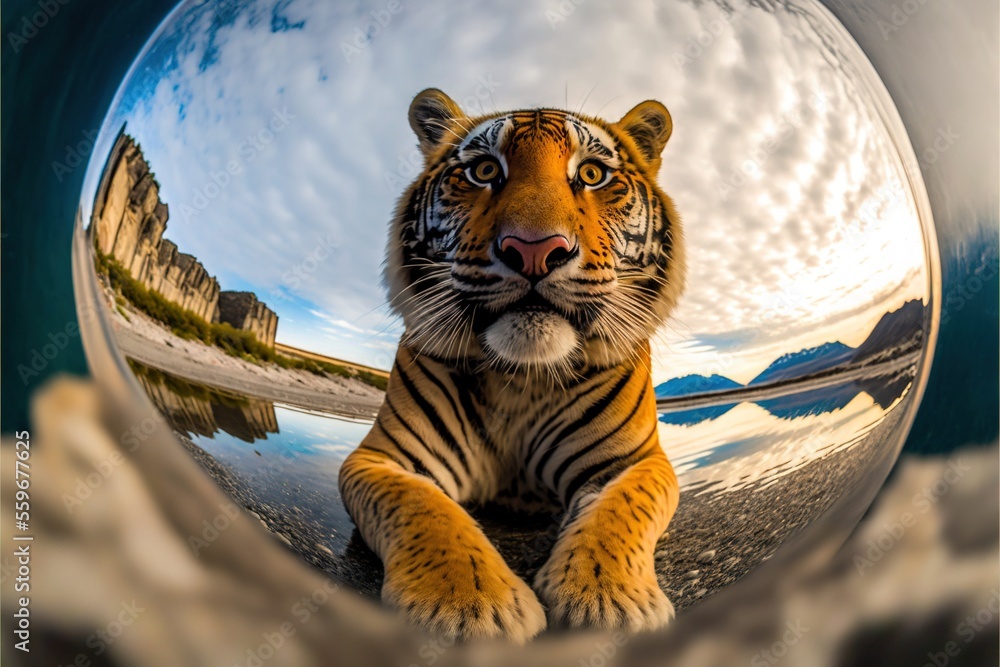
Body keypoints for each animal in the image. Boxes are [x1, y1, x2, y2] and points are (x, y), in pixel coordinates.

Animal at [338, 88, 685, 643]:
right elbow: (425, 510)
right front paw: (469, 608)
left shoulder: (634, 461)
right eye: (483, 170)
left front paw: (607, 601)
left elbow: (619, 514)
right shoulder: (385, 459)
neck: (523, 377)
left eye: (592, 174)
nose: (534, 250)